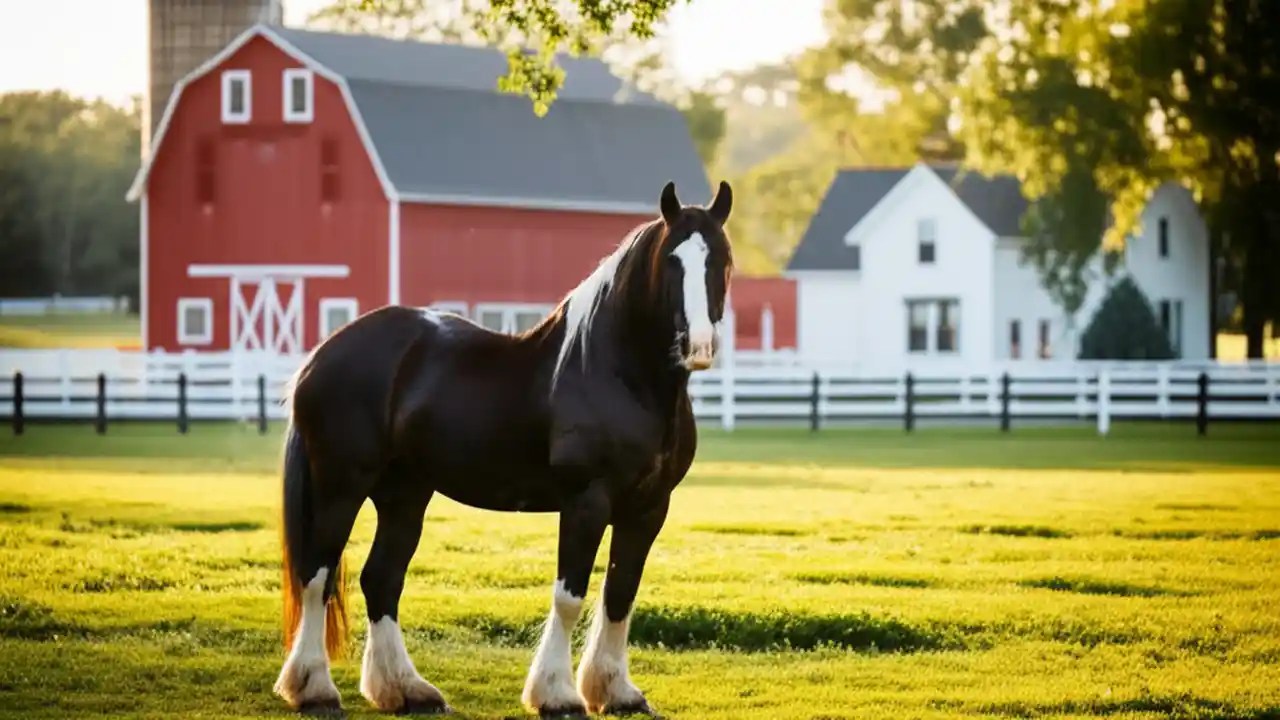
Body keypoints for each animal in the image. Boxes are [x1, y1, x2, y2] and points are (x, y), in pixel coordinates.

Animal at [272, 179, 734, 717]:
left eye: (722, 259)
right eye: (671, 260)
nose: (697, 345)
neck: (614, 373)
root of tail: (320, 357)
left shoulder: (648, 507)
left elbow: (621, 593)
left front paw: (616, 691)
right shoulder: (586, 502)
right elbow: (570, 596)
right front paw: (557, 694)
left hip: (404, 495)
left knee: (380, 579)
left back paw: (405, 690)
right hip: (340, 486)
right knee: (317, 575)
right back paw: (314, 688)